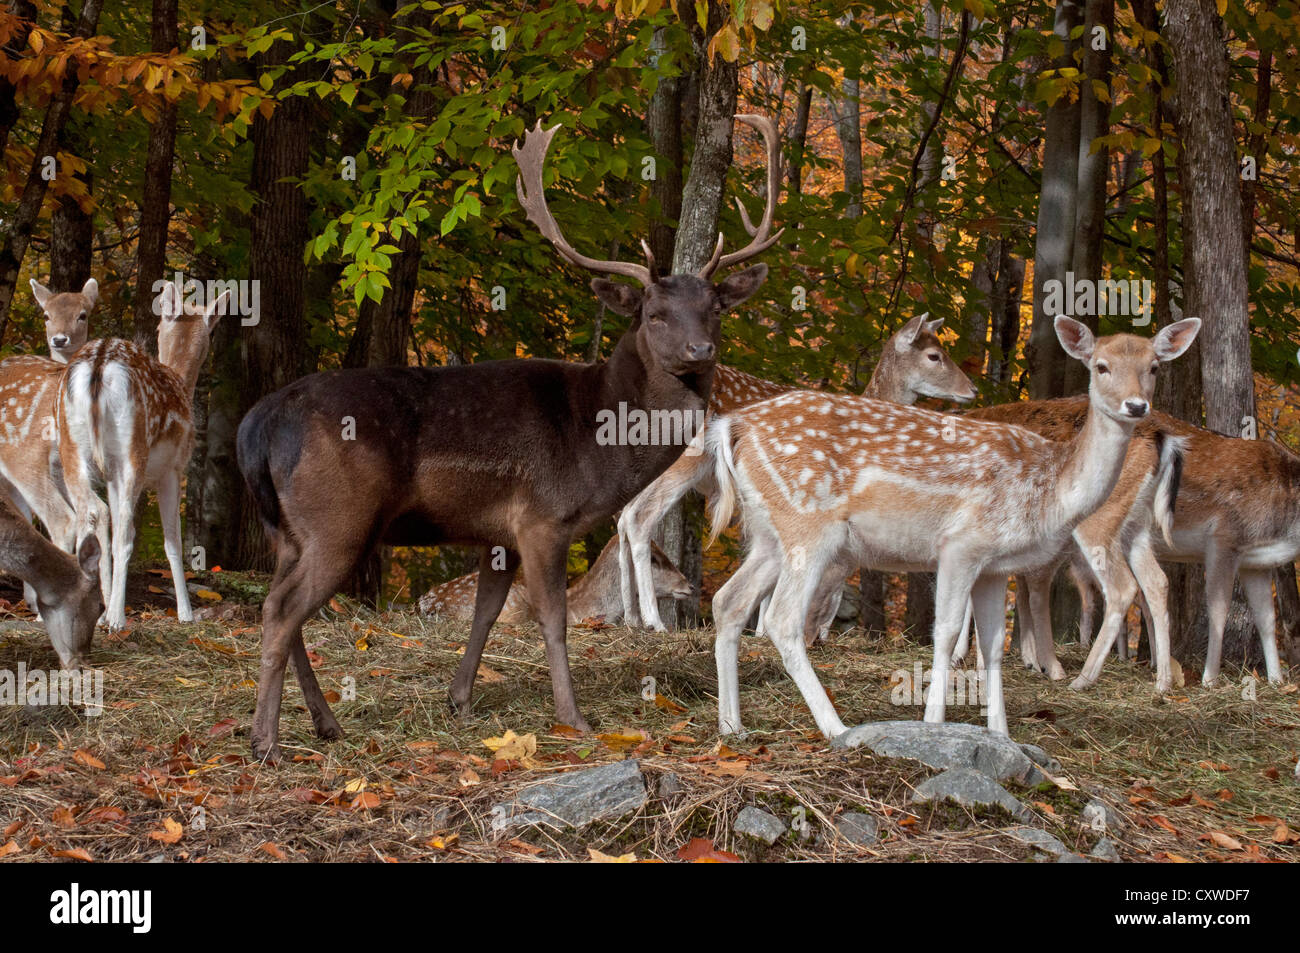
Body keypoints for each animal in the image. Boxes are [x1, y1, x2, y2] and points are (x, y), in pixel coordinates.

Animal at [57, 281, 228, 631]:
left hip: (71, 444)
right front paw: (186, 613)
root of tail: (98, 364)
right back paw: (118, 619)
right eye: (159, 325)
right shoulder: (173, 469)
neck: (182, 384)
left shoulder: (112, 474)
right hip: (133, 449)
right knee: (118, 528)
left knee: (87, 515)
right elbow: (172, 541)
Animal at [617, 314, 977, 637]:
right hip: (685, 459)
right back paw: (655, 621)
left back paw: (631, 618)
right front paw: (767, 631)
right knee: (640, 516)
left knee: (622, 515)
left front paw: (760, 630)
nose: (971, 389)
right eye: (934, 355)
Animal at [701, 316, 1200, 740]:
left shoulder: (996, 566)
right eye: (1100, 366)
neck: (1048, 488)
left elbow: (994, 644)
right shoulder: (961, 545)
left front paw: (1001, 734)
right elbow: (943, 632)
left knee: (728, 601)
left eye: (1154, 366)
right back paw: (836, 727)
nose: (1136, 405)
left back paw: (732, 726)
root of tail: (733, 428)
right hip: (809, 526)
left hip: (770, 533)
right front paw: (933, 723)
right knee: (782, 618)